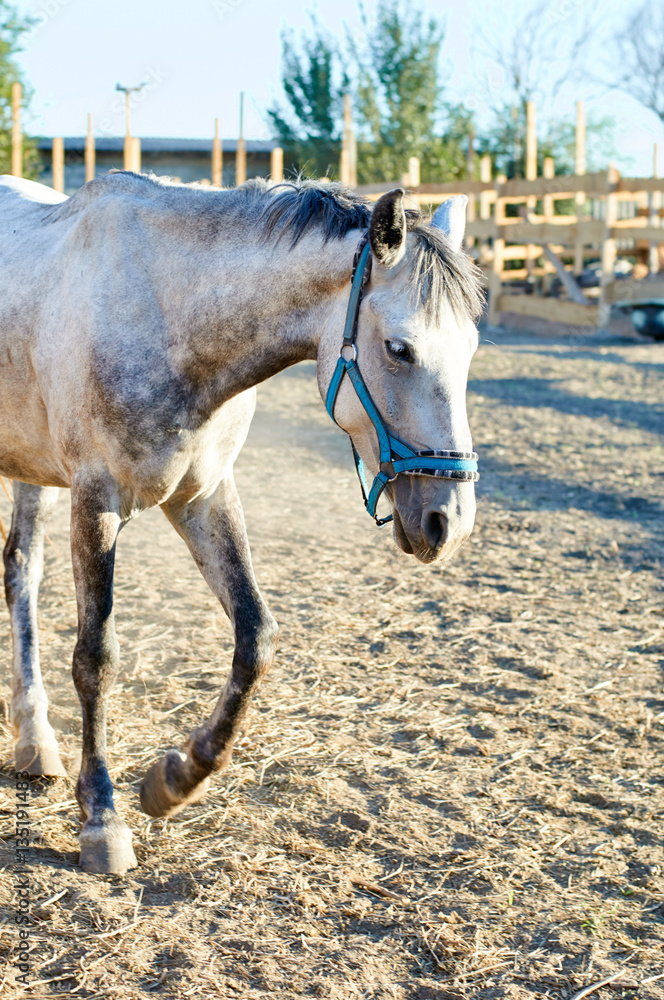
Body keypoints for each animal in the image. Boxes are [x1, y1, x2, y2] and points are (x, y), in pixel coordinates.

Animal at [0, 172, 483, 874]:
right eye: (400, 349)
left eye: (471, 347)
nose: (450, 521)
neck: (171, 310)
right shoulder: (97, 501)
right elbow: (96, 657)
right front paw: (103, 819)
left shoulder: (204, 497)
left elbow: (256, 638)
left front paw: (174, 779)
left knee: (21, 571)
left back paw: (34, 740)